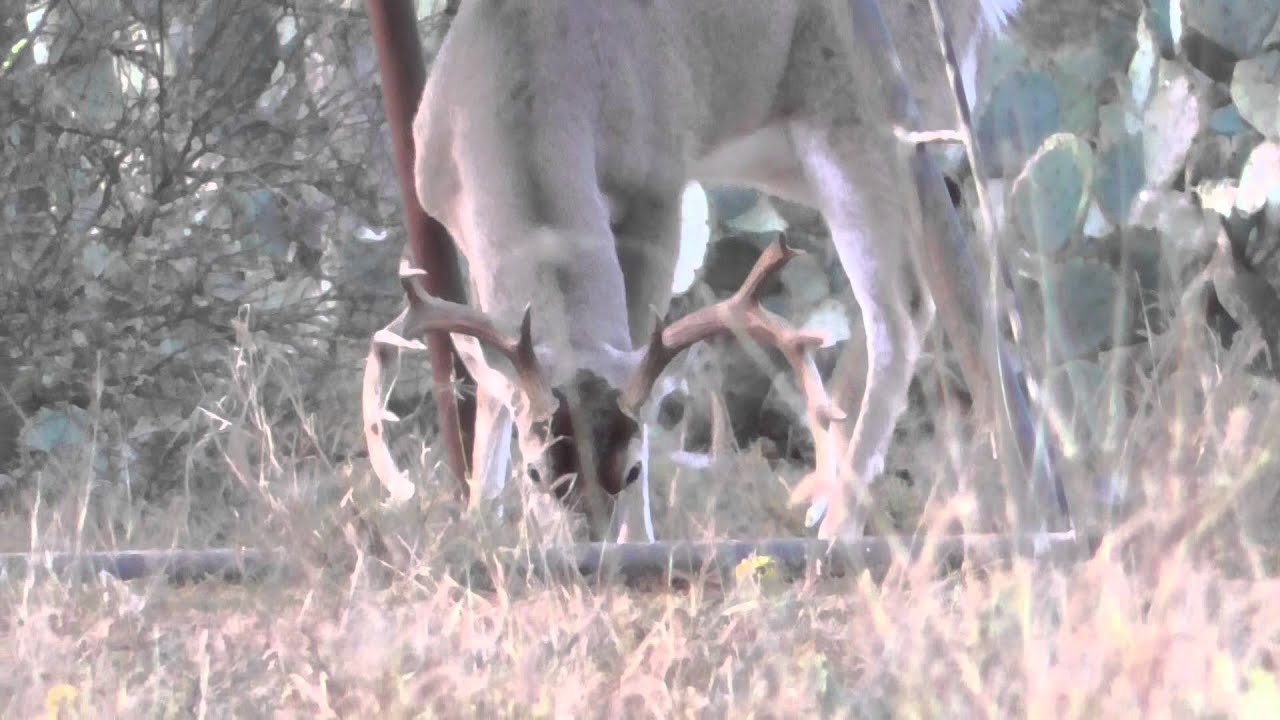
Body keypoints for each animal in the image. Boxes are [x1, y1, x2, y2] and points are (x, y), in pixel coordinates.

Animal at [363, 0, 1072, 543]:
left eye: (631, 470)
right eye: (535, 472)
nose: (590, 549)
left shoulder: (658, 187)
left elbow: (640, 356)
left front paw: (642, 539)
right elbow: (489, 380)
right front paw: (479, 517)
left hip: (865, 126)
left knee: (903, 304)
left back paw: (841, 523)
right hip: (796, 155)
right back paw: (818, 491)